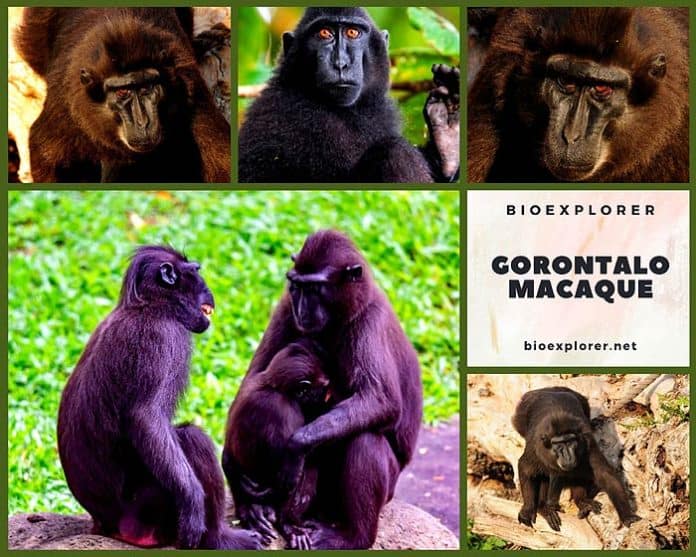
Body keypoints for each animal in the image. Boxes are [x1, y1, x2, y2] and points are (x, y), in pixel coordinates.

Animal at [15, 8, 231, 183]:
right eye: (122, 92)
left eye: (147, 87)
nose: (143, 123)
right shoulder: (66, 102)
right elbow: (46, 156)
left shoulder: (189, 87)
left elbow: (222, 163)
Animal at [57, 246, 261, 549]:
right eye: (196, 271)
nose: (210, 291)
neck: (153, 305)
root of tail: (106, 525)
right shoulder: (163, 339)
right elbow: (146, 418)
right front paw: (193, 503)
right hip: (146, 514)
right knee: (192, 438)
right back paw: (219, 538)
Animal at [223, 338, 332, 550]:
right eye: (323, 387)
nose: (328, 393)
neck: (273, 386)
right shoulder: (285, 410)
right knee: (306, 469)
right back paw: (287, 523)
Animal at [238, 7, 460, 183]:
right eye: (324, 33)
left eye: (353, 33)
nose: (341, 64)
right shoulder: (286, 112)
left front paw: (446, 140)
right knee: (395, 151)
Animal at [512, 386, 641, 531]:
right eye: (558, 444)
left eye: (570, 441)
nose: (567, 455)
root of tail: (549, 389)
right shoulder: (536, 448)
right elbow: (525, 468)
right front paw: (528, 509)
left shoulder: (588, 443)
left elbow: (605, 475)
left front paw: (627, 516)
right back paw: (543, 507)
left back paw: (581, 501)